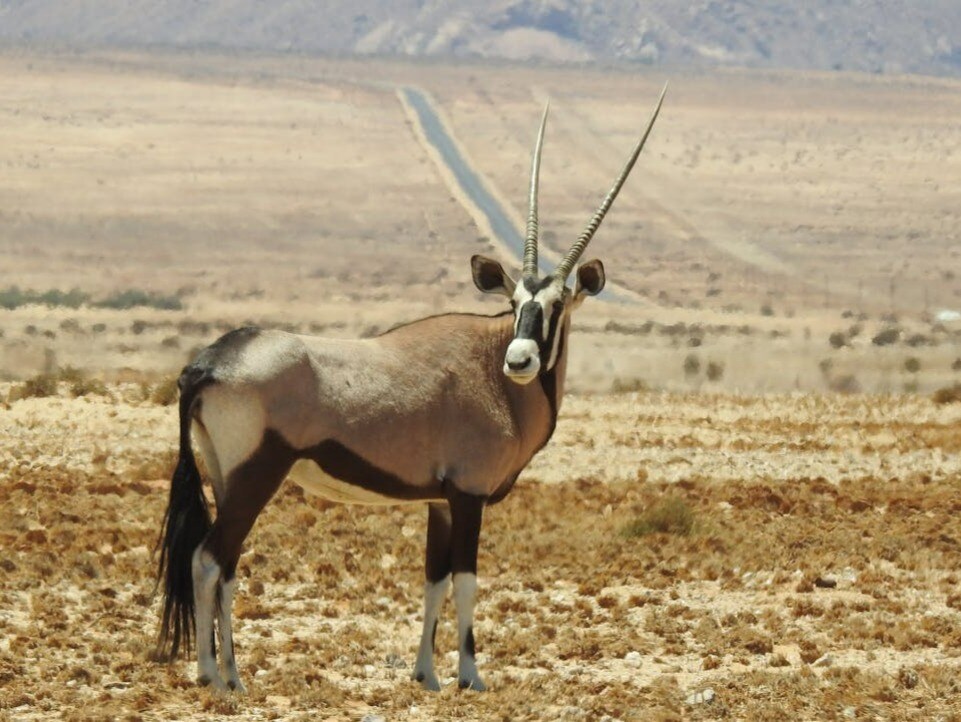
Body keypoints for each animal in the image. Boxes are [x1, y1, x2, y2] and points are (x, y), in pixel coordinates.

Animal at [156, 86, 666, 693]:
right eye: (516, 302)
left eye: (556, 304)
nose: (519, 359)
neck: (490, 372)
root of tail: (206, 364)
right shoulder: (468, 495)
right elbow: (466, 581)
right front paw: (470, 674)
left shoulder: (439, 502)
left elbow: (432, 581)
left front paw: (426, 673)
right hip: (256, 475)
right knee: (210, 559)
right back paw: (216, 674)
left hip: (224, 476)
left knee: (221, 564)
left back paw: (226, 670)